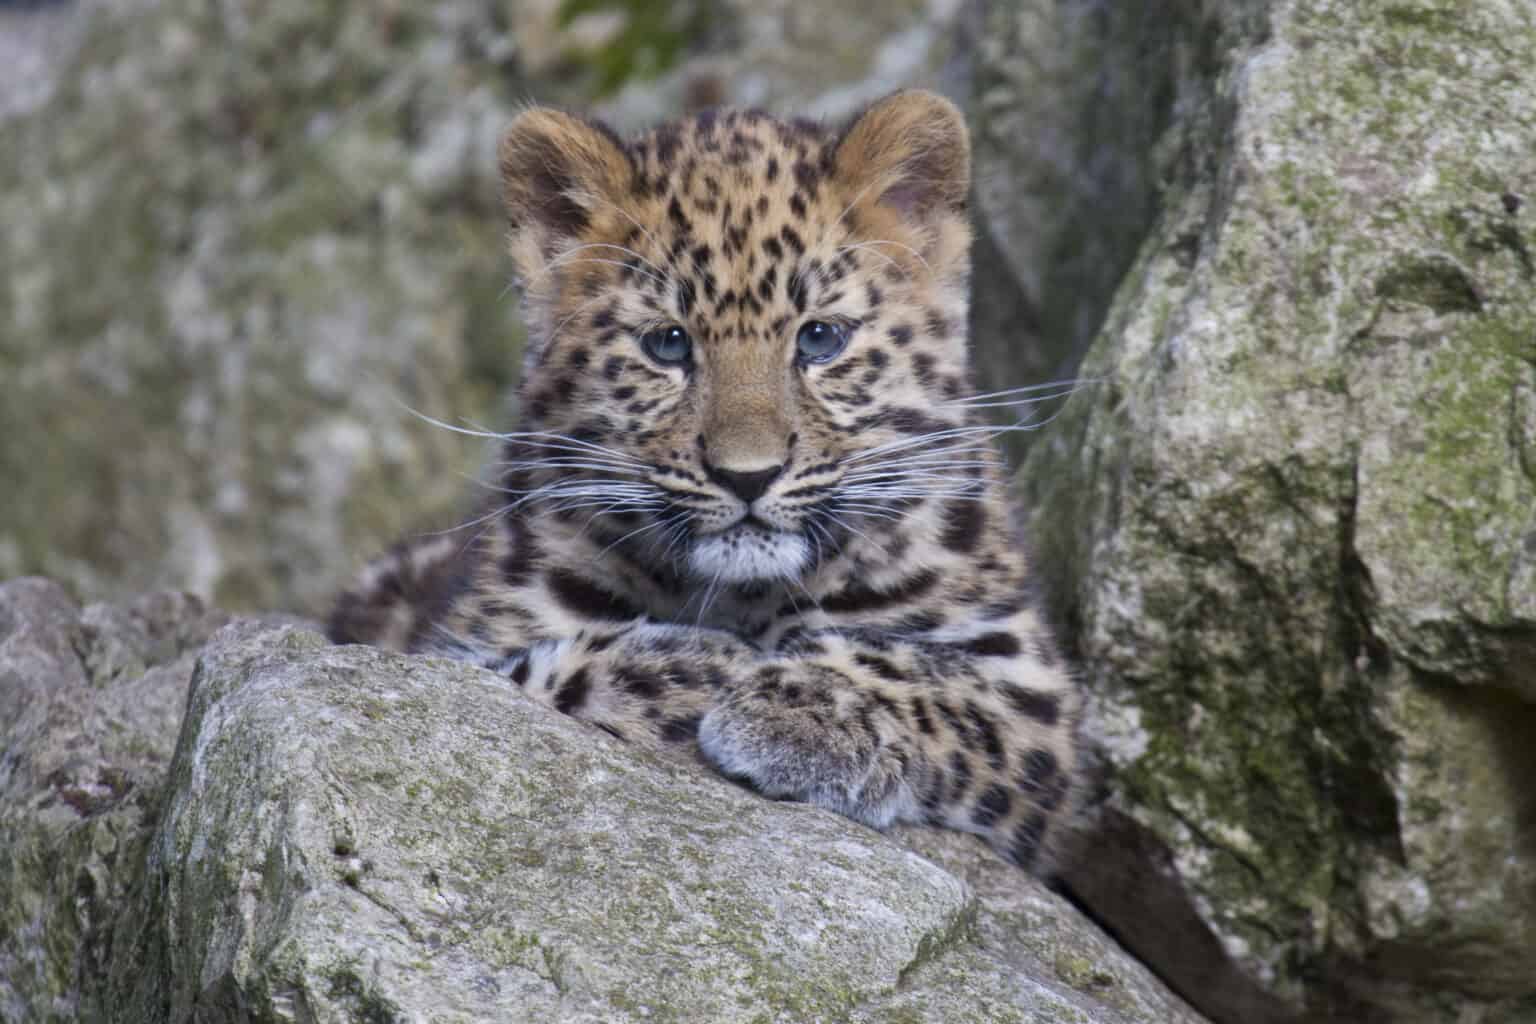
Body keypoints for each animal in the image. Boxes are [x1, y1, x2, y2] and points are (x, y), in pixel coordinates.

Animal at [328, 90, 1082, 872]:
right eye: (668, 344)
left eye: (820, 339)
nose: (747, 476)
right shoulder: (452, 649)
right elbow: (527, 676)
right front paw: (707, 668)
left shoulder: (1029, 681)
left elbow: (916, 671)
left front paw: (793, 708)